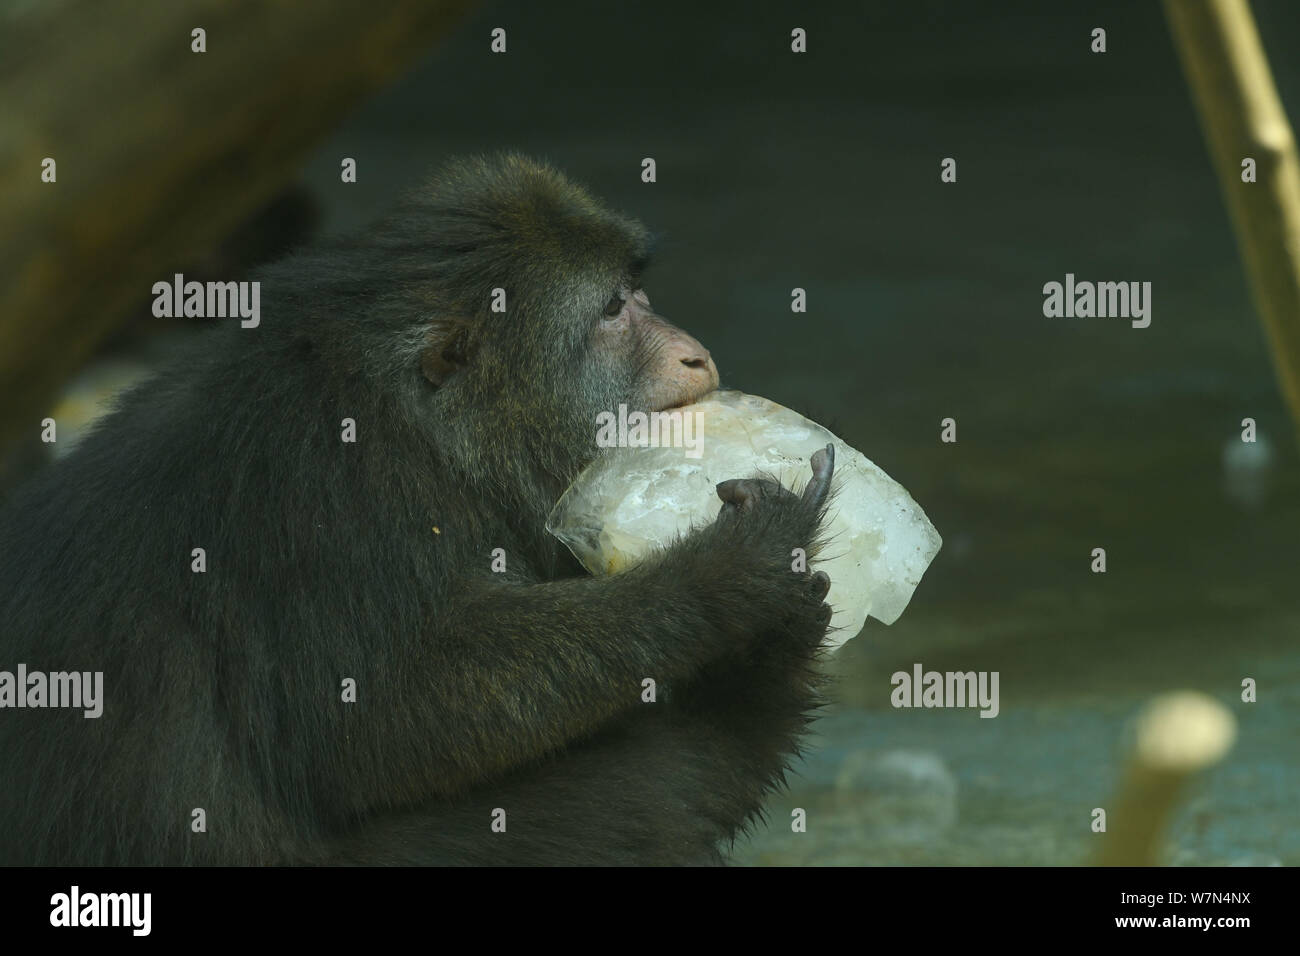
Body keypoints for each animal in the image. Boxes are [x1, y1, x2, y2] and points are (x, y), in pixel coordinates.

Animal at [0, 153, 835, 865]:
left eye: (637, 293)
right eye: (609, 312)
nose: (692, 352)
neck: (422, 429)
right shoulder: (330, 488)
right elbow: (381, 720)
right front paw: (724, 578)